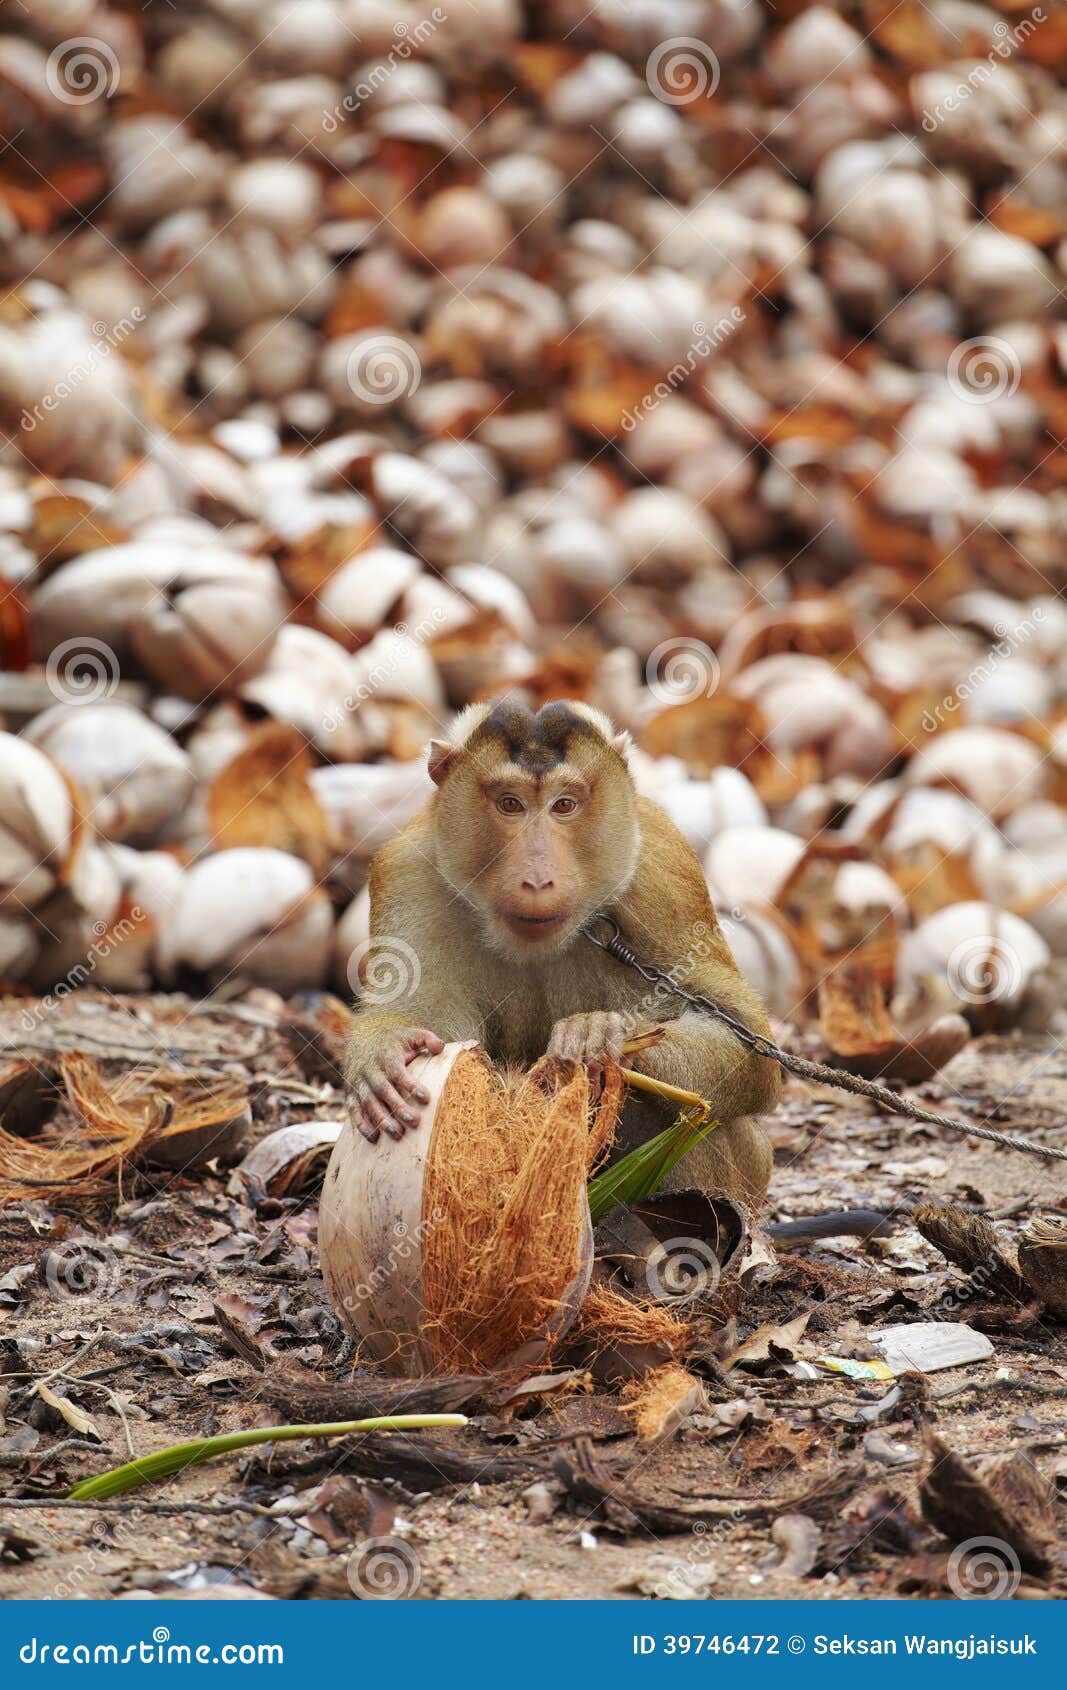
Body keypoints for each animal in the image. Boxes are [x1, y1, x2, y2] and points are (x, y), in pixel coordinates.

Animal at [344, 699, 782, 1209]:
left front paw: (602, 1034)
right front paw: (383, 1050)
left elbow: (750, 1045)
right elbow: (429, 1027)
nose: (537, 879)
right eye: (510, 804)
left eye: (564, 805)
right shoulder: (409, 874)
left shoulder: (665, 871)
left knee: (700, 1118)